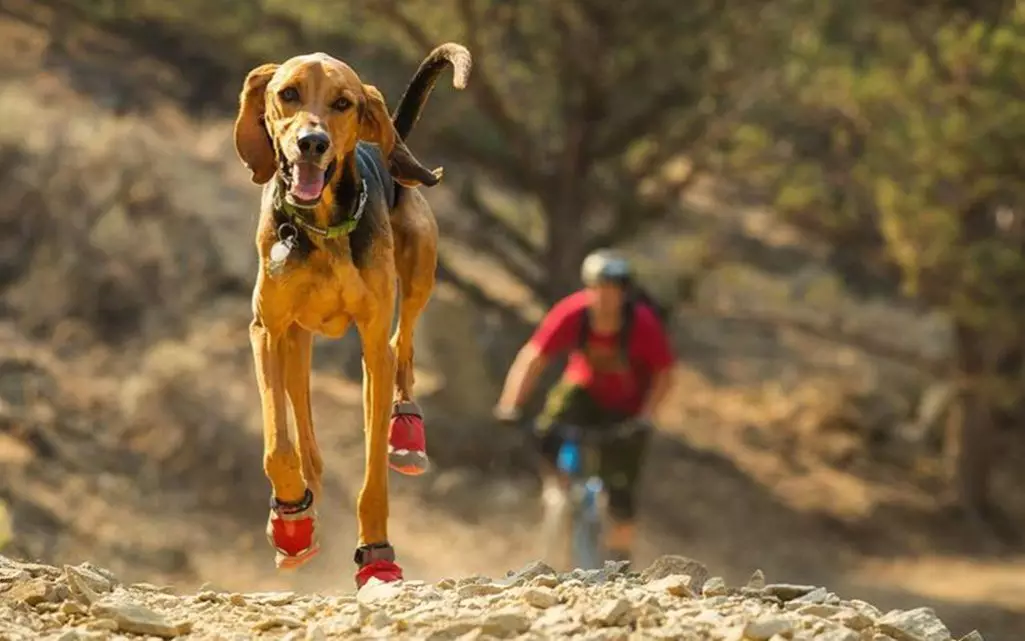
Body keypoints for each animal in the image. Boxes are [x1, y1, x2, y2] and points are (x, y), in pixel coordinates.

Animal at [233, 45, 471, 586]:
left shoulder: (372, 342)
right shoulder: (266, 330)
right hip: (296, 340)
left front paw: (377, 554)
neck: (321, 226)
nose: (312, 143)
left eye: (343, 102)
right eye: (288, 93)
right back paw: (303, 500)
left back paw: (406, 430)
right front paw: (292, 520)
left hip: (419, 271)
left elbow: (373, 475)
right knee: (305, 426)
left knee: (403, 347)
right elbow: (279, 447)